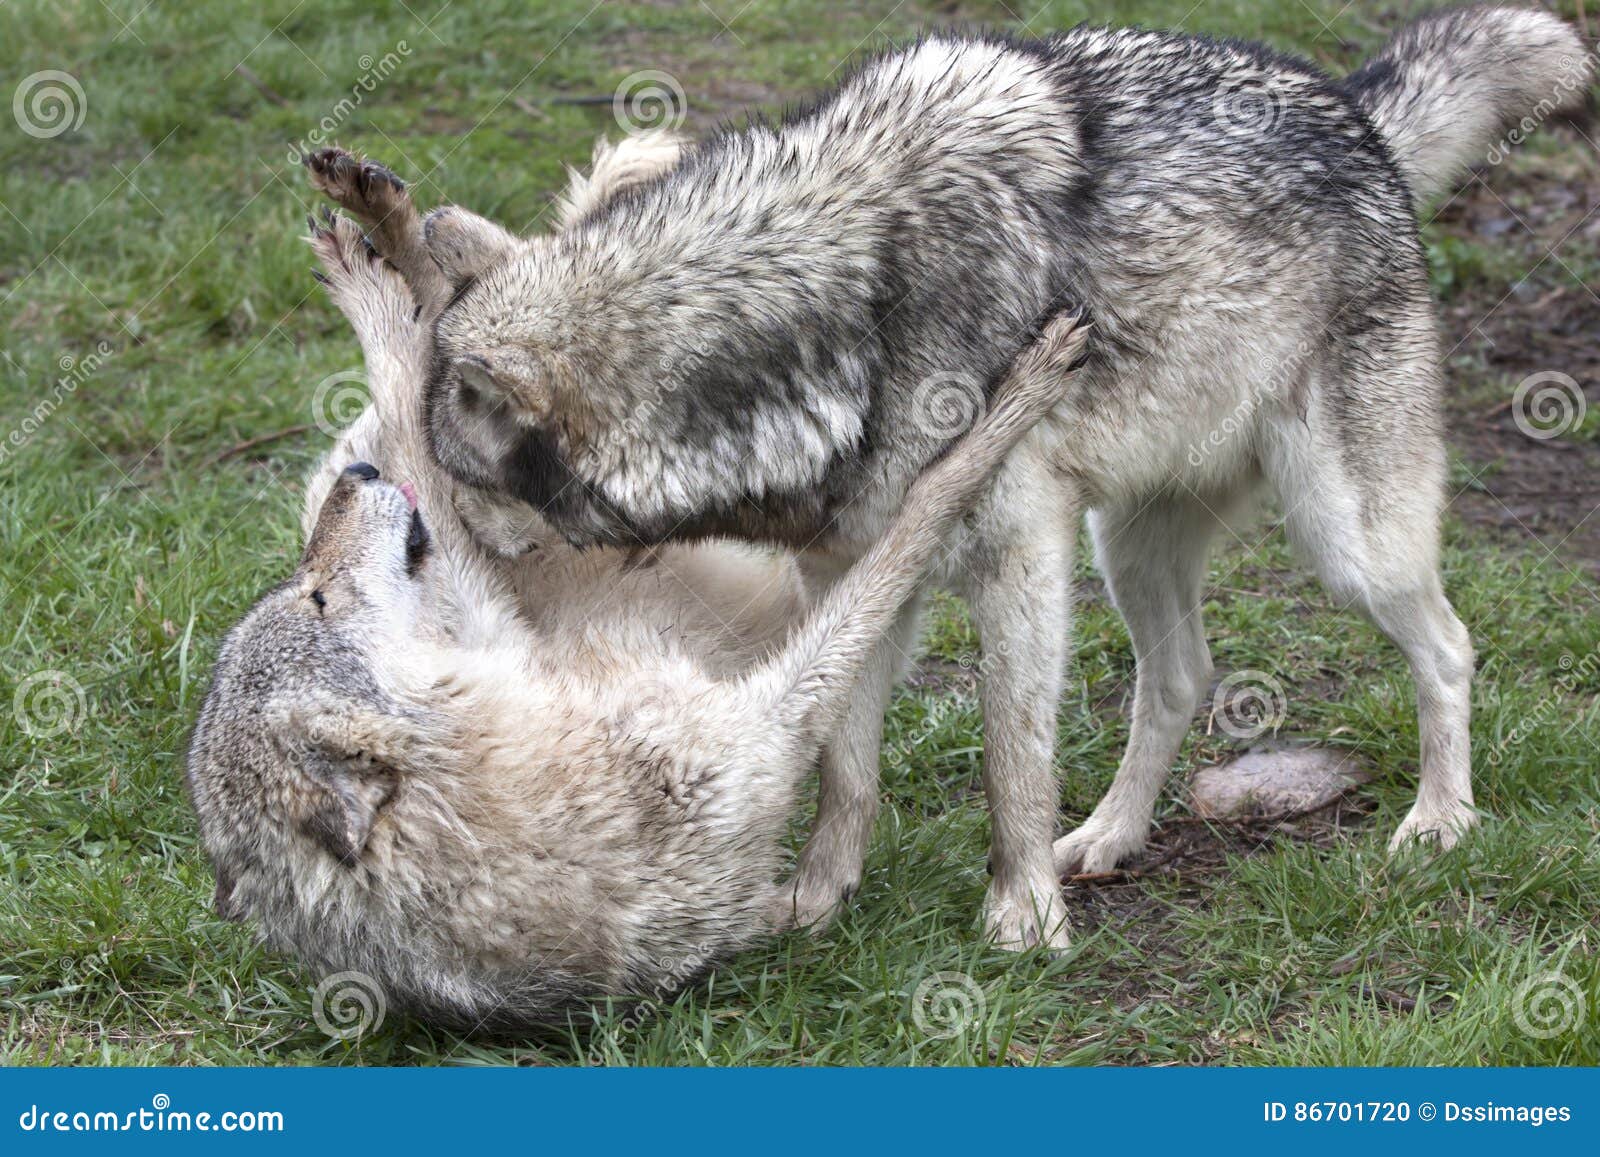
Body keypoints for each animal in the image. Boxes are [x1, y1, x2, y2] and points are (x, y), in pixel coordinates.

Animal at [184, 207, 1089, 1028]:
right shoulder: (769, 718)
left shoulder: (493, 631)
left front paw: (376, 285)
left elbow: (421, 409)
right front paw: (1013, 401)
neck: (455, 791)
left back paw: (401, 250)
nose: (359, 481)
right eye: (316, 595)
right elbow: (919, 516)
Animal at [310, 7, 1593, 950]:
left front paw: (1020, 915)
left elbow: (1009, 760)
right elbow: (844, 764)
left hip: (1342, 544)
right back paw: (1110, 838)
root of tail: (1352, 112)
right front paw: (818, 896)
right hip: (1129, 551)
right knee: (1180, 678)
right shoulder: (854, 569)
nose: (415, 521)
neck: (838, 303)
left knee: (1447, 646)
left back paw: (1439, 819)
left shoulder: (1017, 559)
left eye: (461, 490)